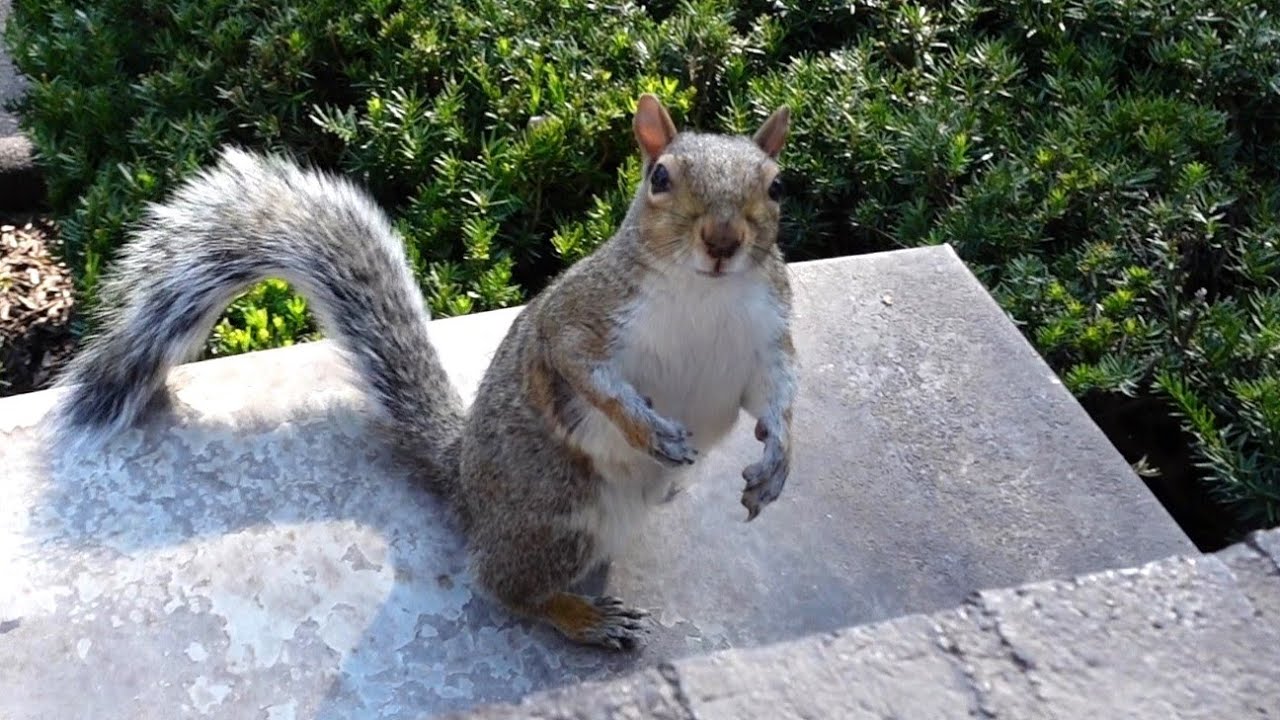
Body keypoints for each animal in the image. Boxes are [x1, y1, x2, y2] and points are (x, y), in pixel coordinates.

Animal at [47, 94, 798, 651]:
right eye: (660, 178)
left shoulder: (770, 336)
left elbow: (778, 398)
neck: (704, 295)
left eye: (775, 185)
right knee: (503, 584)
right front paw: (650, 431)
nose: (723, 241)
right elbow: (588, 376)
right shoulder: (581, 322)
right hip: (557, 510)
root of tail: (465, 483)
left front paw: (777, 465)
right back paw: (582, 616)